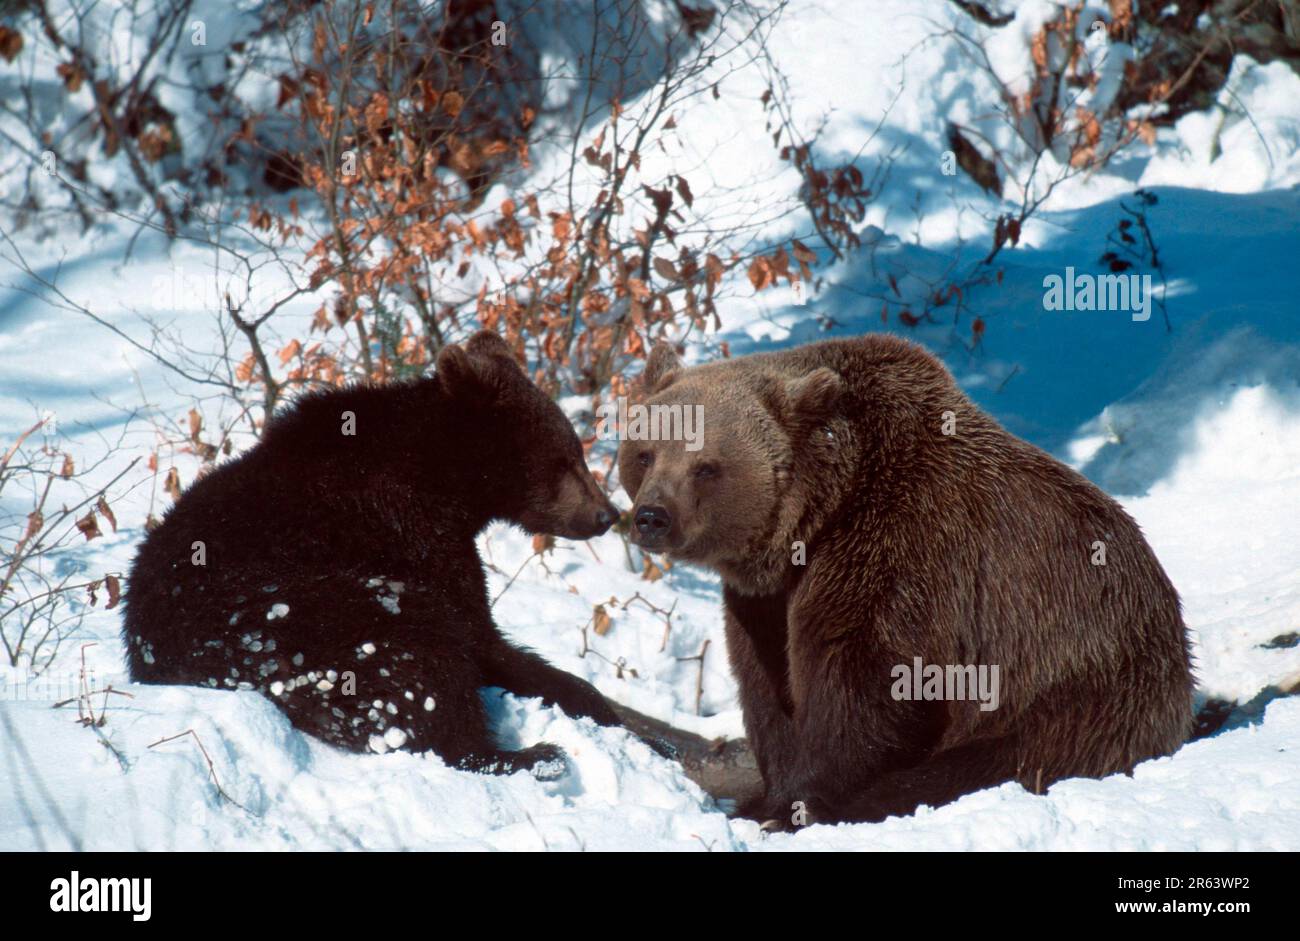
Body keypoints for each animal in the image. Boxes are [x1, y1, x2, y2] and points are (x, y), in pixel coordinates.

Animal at [124, 329, 622, 776]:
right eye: (564, 459)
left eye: (575, 452)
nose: (607, 513)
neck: (447, 484)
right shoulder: (408, 531)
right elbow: (479, 634)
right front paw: (595, 705)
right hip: (308, 617)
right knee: (420, 662)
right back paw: (533, 755)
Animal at [617, 334, 1194, 826]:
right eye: (645, 452)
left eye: (706, 466)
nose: (651, 517)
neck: (817, 516)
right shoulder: (764, 599)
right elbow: (767, 686)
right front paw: (770, 797)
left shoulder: (898, 552)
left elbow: (869, 685)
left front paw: (801, 804)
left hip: (1078, 674)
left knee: (998, 759)